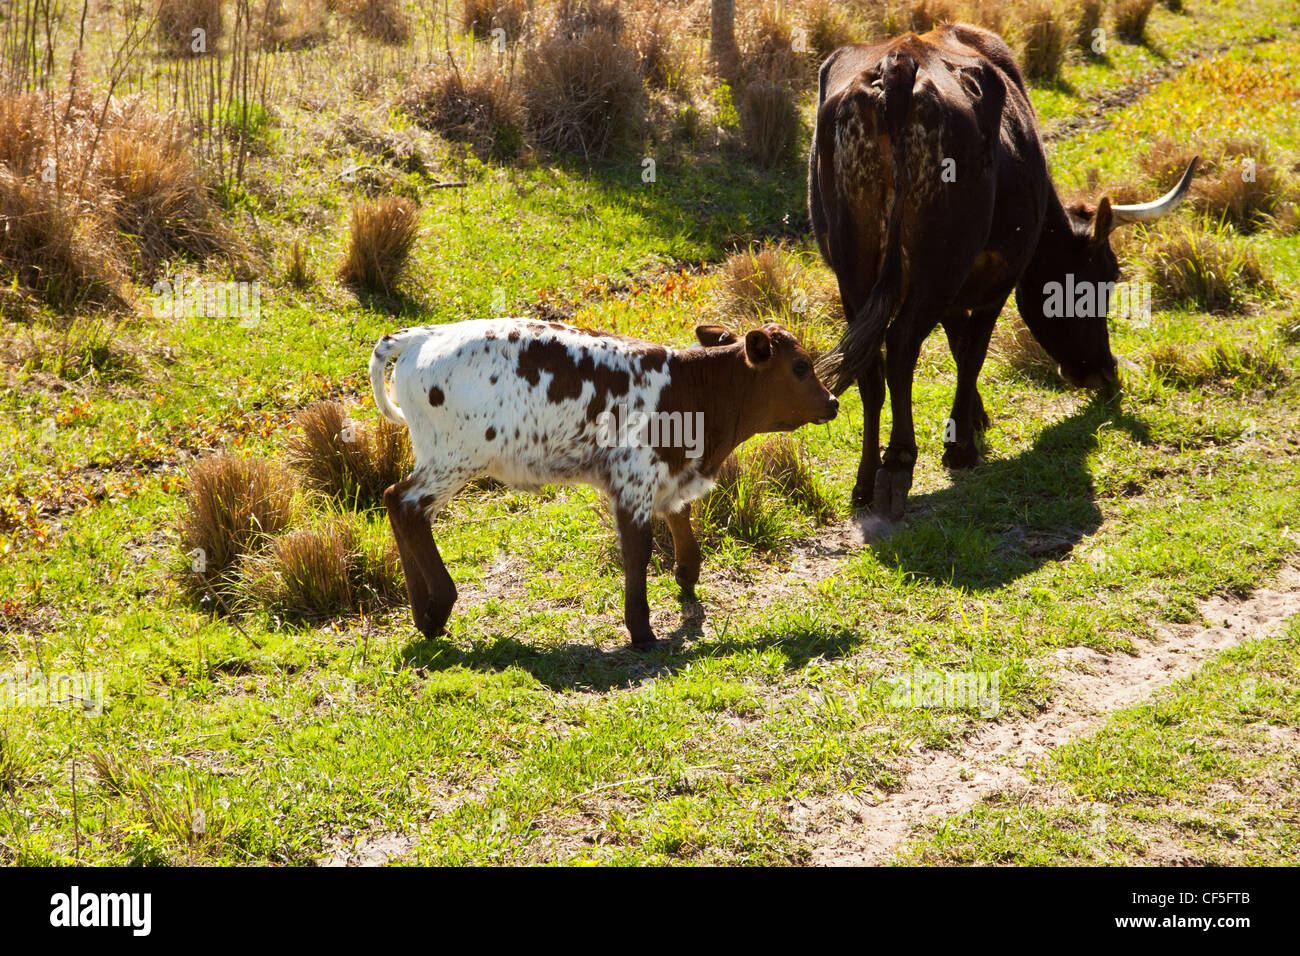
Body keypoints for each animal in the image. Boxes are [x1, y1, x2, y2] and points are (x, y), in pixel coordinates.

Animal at [368, 318, 838, 650]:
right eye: (800, 366)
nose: (833, 402)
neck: (691, 393)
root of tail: (424, 335)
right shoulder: (634, 480)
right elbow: (637, 552)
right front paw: (641, 629)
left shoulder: (667, 475)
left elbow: (679, 518)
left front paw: (686, 575)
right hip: (454, 459)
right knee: (405, 503)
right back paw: (439, 607)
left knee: (397, 504)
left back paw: (423, 614)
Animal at [809, 22, 1195, 520]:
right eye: (1106, 277)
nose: (1104, 371)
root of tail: (899, 62)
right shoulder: (1001, 278)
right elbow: (972, 352)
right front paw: (961, 445)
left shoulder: (956, 289)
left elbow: (957, 345)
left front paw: (971, 419)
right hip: (938, 265)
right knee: (901, 345)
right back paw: (897, 466)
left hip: (853, 270)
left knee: (870, 360)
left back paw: (864, 479)